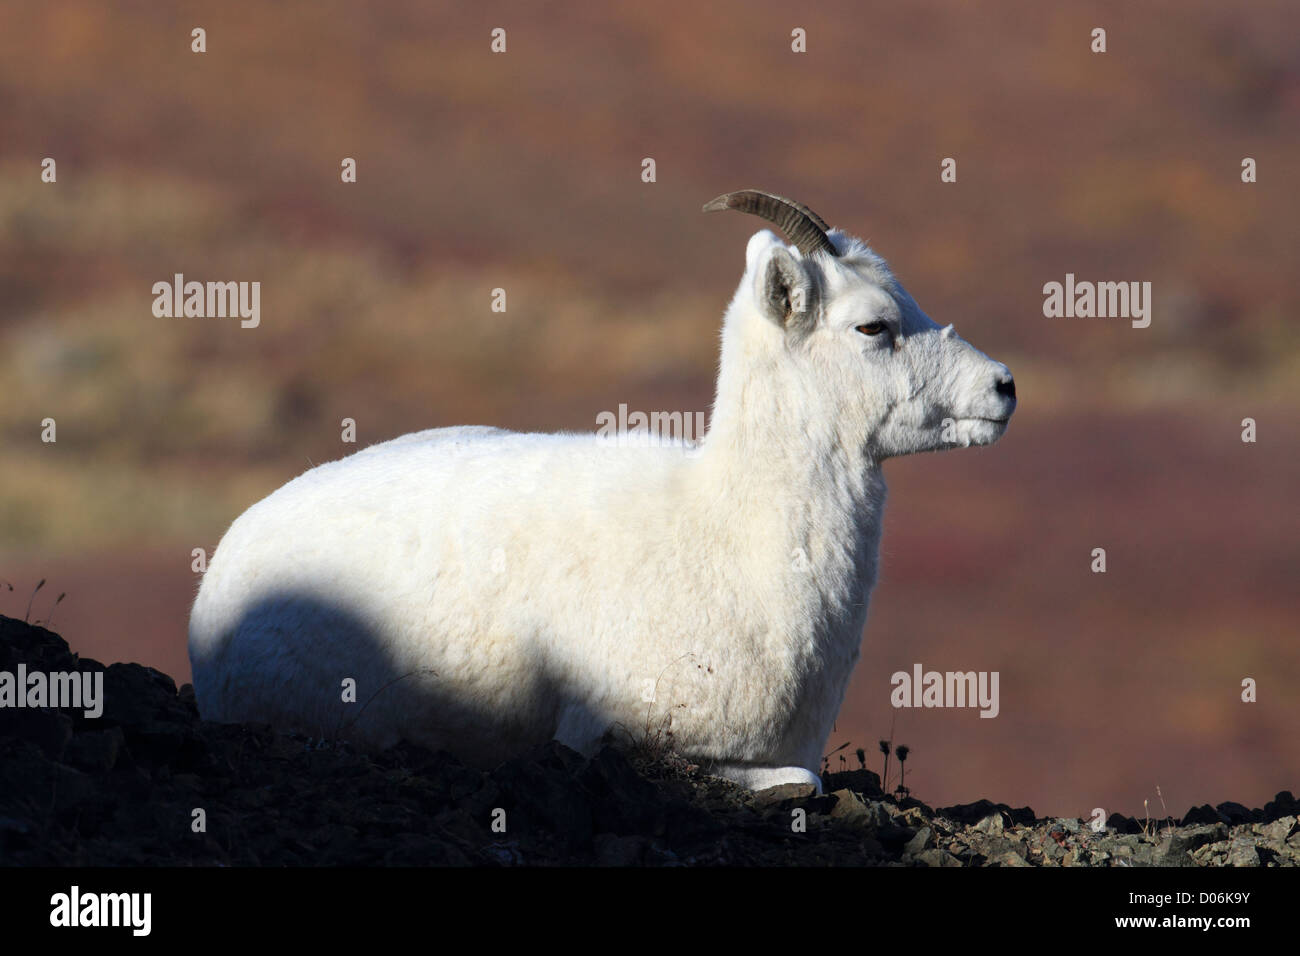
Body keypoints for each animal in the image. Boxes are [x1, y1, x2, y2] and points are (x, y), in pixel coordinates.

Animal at [187, 190, 1016, 792]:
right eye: (873, 327)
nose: (1003, 386)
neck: (729, 536)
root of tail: (218, 579)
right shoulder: (620, 741)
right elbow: (796, 784)